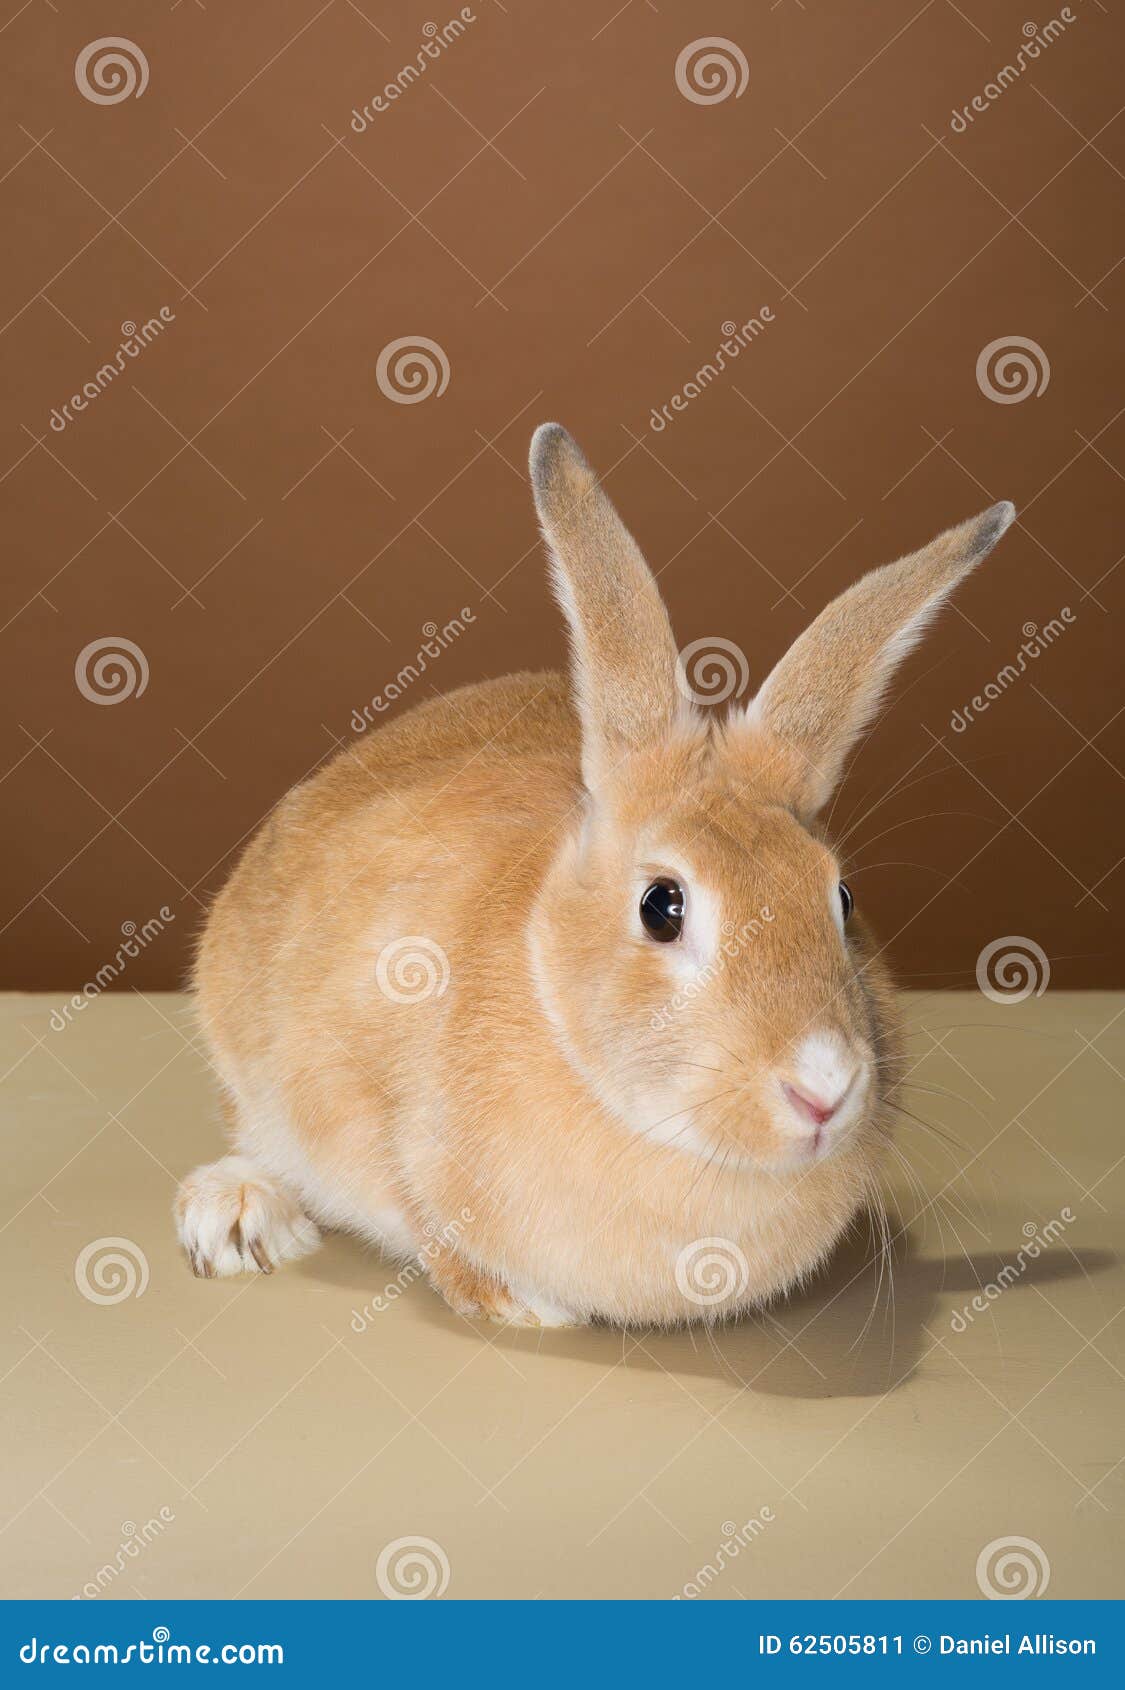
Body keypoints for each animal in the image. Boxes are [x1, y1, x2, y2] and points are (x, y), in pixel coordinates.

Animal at [176, 424, 1014, 1327]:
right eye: (661, 906)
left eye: (841, 896)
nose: (823, 1089)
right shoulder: (352, 1083)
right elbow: (410, 1205)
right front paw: (520, 1307)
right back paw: (236, 1216)